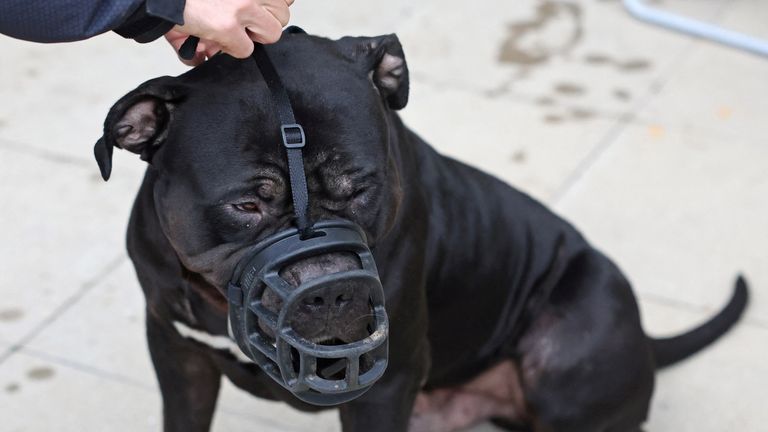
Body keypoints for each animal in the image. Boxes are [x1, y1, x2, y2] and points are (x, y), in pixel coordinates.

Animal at [93, 30, 748, 432]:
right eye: (247, 204)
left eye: (360, 188)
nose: (331, 292)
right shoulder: (176, 351)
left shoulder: (388, 381)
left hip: (577, 338)